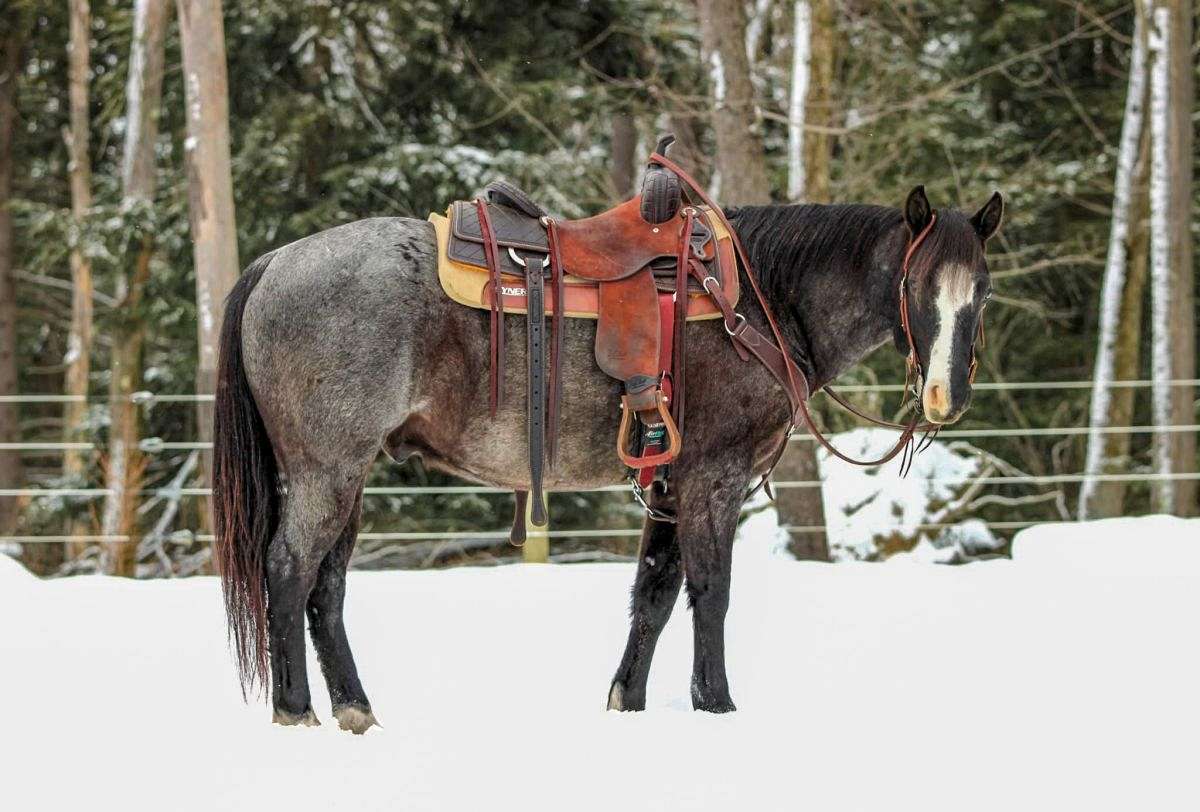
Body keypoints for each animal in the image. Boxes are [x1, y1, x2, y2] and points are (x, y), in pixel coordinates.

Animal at [212, 184, 1003, 732]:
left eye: (984, 290)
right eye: (913, 286)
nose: (946, 395)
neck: (759, 301)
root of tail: (275, 263)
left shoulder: (671, 485)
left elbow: (653, 593)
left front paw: (629, 701)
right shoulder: (713, 480)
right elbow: (710, 592)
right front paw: (716, 704)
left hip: (348, 477)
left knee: (327, 586)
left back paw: (355, 709)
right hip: (327, 471)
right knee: (290, 570)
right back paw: (295, 710)